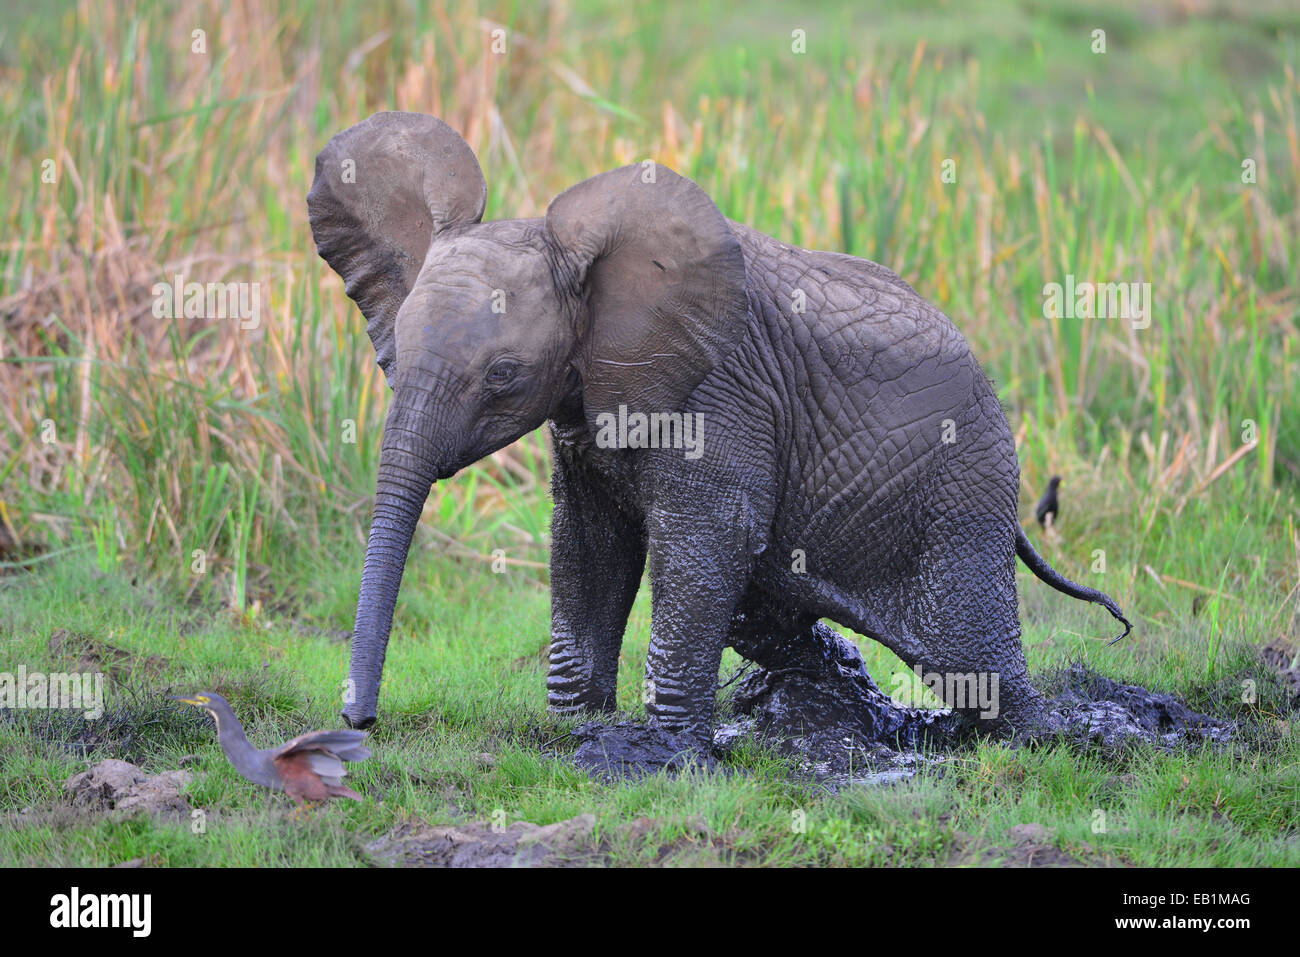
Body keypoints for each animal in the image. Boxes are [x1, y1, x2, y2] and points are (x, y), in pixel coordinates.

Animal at [307, 111, 1131, 752]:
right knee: (766, 609)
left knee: (972, 659)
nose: (359, 722)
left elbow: (702, 543)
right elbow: (587, 546)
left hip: (960, 492)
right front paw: (577, 732)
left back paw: (1055, 738)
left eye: (503, 374)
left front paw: (667, 753)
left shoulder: (718, 395)